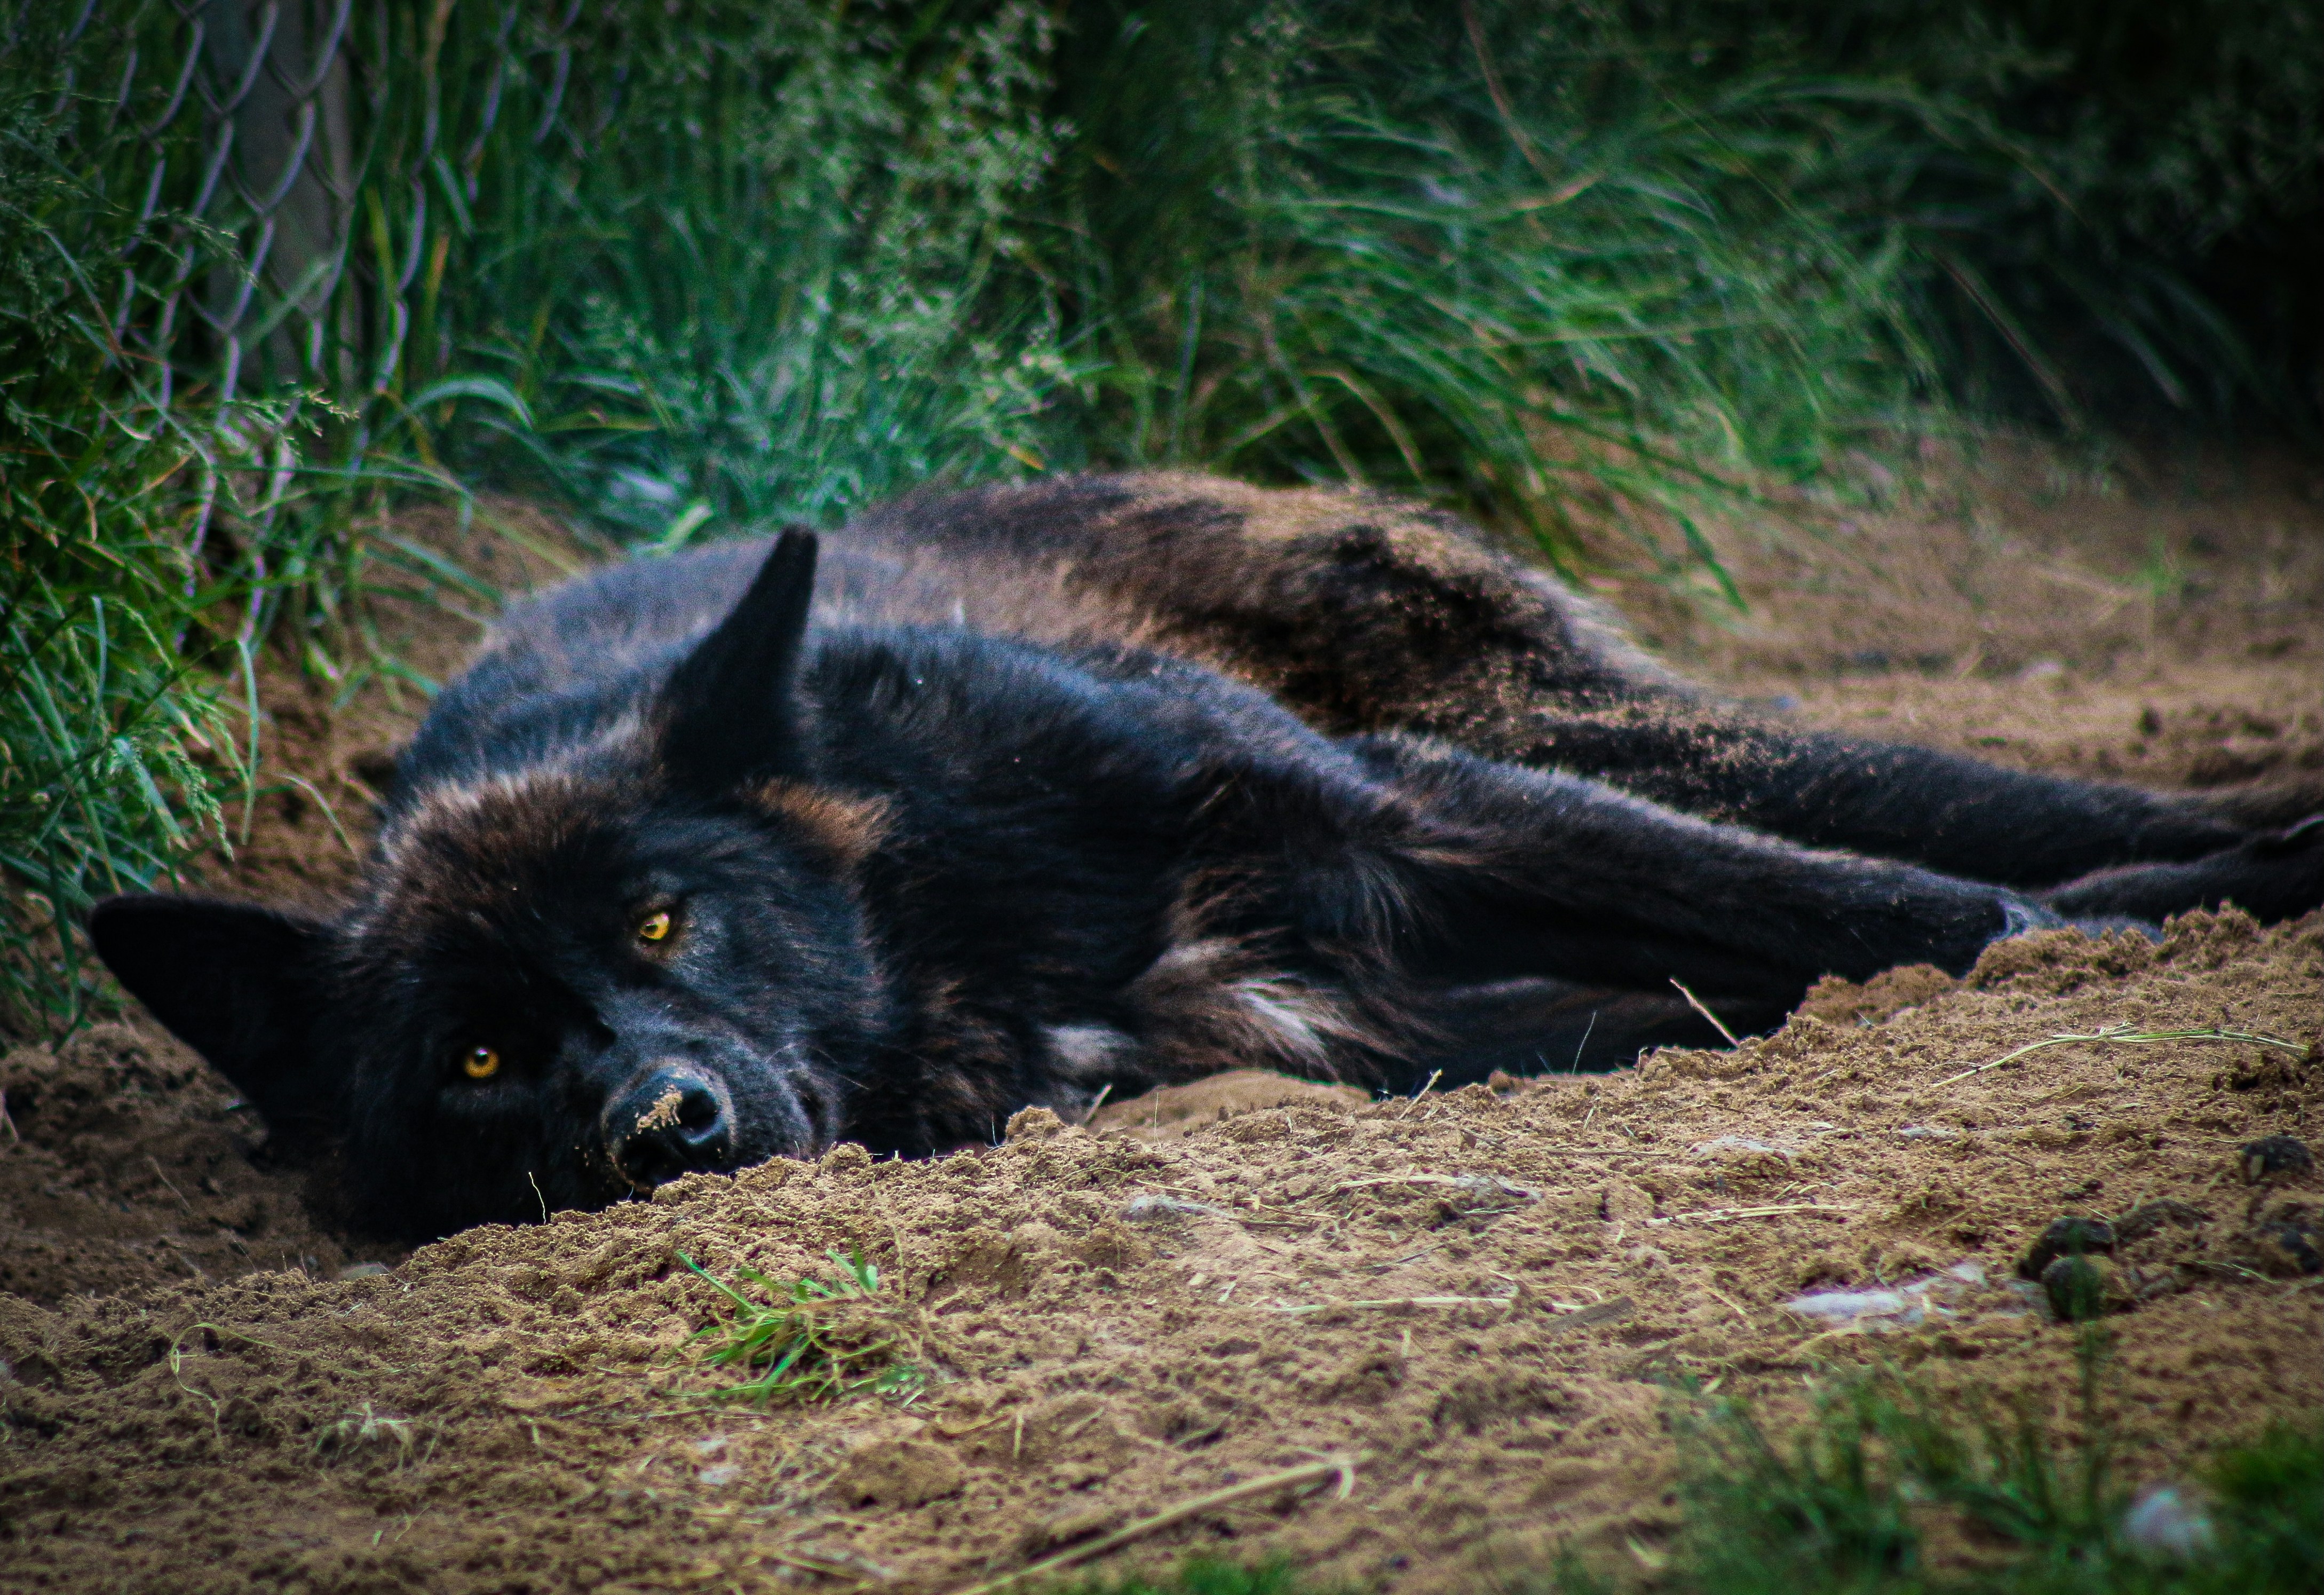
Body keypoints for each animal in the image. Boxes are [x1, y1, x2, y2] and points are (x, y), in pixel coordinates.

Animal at [90, 474, 2323, 1238]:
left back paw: (2239, 851)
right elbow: (1739, 967)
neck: (950, 933)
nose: (662, 1124)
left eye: (665, 915)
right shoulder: (1368, 1021)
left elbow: (1878, 908)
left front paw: (2064, 962)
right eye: (474, 1059)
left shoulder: (1391, 807)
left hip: (1548, 727)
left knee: (1974, 806)